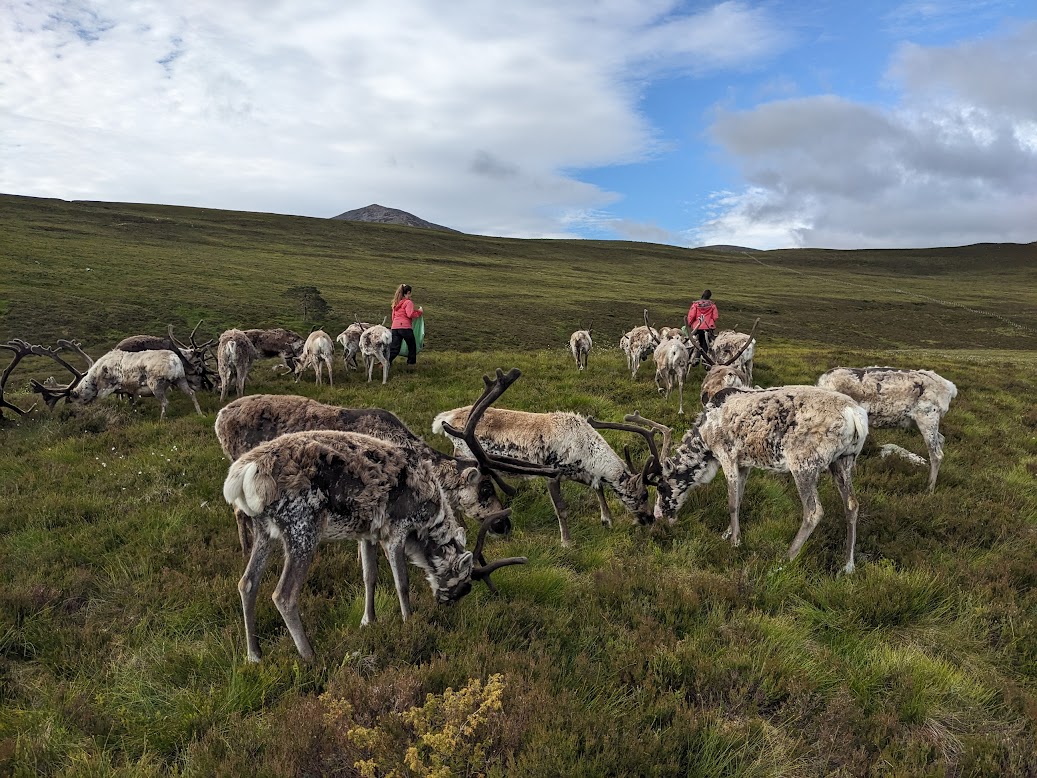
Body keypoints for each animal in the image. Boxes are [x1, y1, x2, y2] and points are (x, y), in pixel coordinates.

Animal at [223, 367, 558, 662]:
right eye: (486, 488)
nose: (505, 523)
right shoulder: (393, 531)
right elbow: (401, 581)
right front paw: (409, 625)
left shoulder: (367, 530)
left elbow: (369, 575)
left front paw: (368, 621)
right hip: (302, 528)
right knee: (282, 593)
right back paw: (309, 657)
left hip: (267, 529)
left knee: (247, 583)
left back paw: (254, 654)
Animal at [631, 381, 869, 573]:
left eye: (661, 487)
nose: (658, 516)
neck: (704, 438)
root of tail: (855, 415)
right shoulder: (744, 464)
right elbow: (739, 498)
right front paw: (728, 533)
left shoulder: (726, 455)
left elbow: (731, 503)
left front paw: (735, 542)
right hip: (843, 461)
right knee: (852, 504)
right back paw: (848, 565)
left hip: (804, 464)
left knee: (813, 511)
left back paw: (785, 559)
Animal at [817, 367, 957, 492]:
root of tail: (949, 388)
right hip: (915, 423)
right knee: (941, 439)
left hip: (927, 419)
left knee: (936, 455)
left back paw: (929, 489)